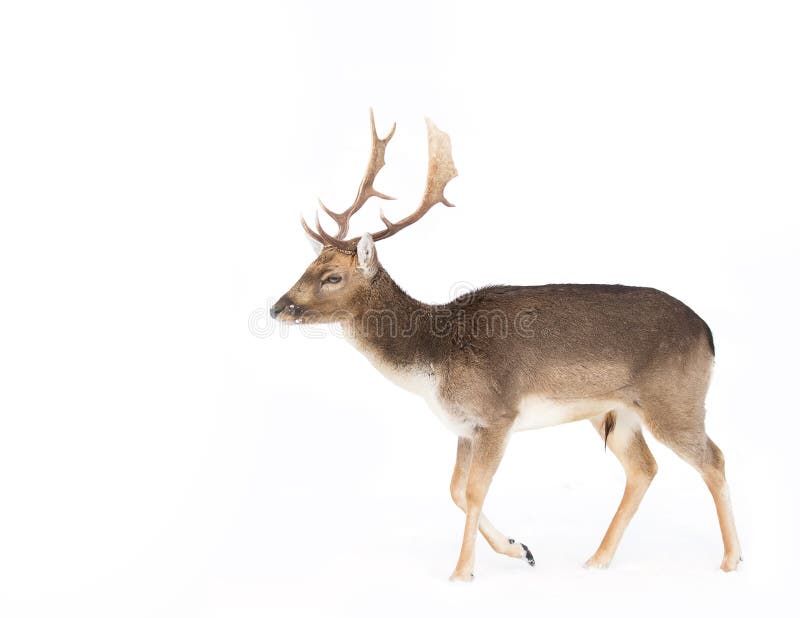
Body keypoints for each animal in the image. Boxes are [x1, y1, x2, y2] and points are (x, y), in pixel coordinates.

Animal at [269, 110, 742, 581]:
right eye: (308, 264)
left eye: (332, 276)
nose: (277, 308)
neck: (433, 359)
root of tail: (709, 334)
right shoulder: (464, 425)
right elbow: (456, 490)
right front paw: (521, 549)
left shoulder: (497, 412)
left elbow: (475, 490)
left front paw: (462, 573)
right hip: (616, 411)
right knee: (645, 468)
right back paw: (597, 558)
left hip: (675, 398)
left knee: (714, 458)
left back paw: (731, 559)